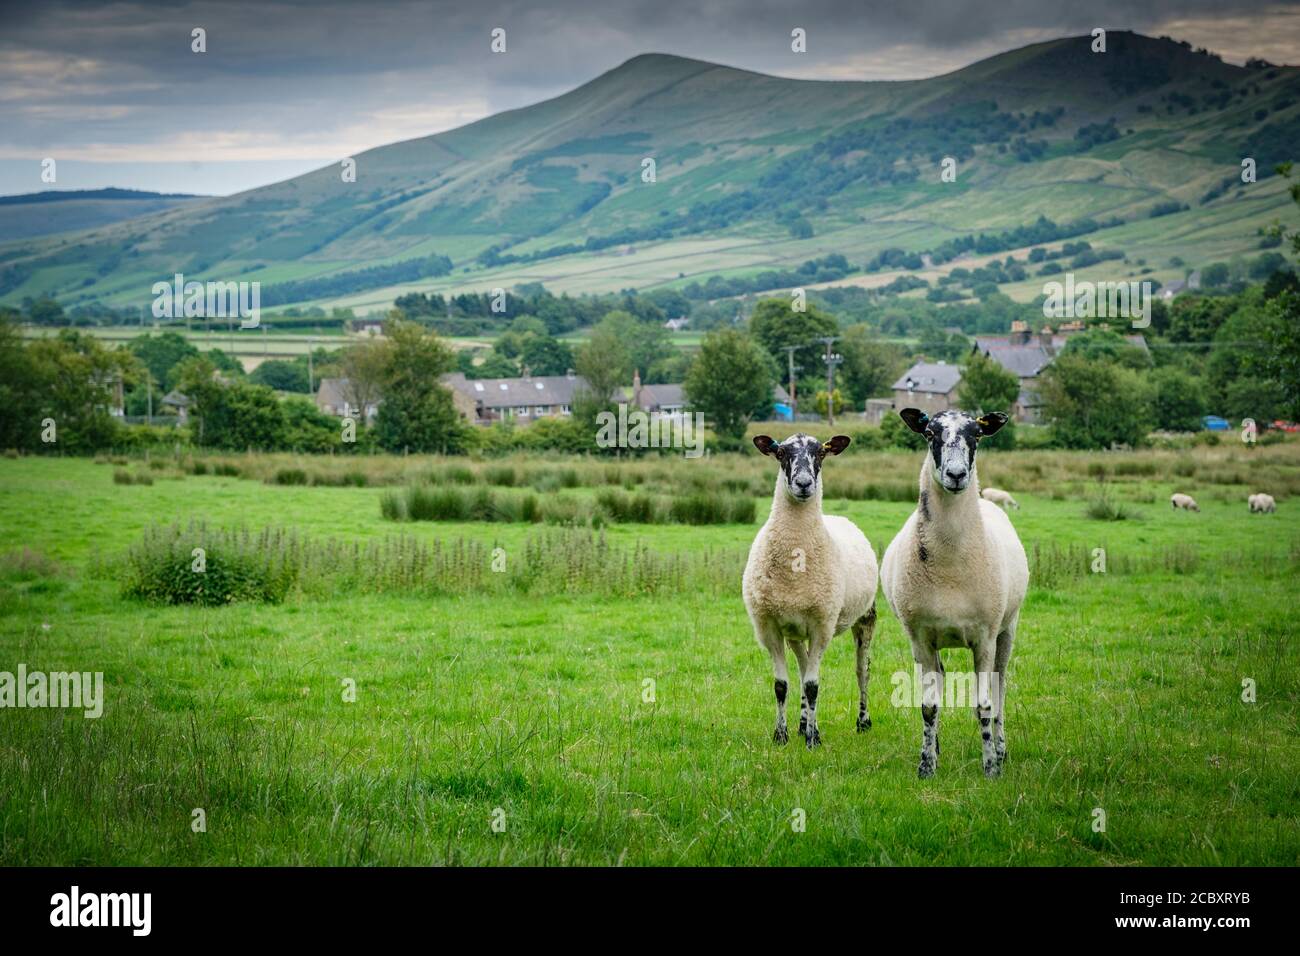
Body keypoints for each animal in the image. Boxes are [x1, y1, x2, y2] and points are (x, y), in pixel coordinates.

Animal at [743, 433, 879, 750]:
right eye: (781, 453)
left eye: (821, 453)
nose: (804, 483)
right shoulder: (769, 627)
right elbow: (782, 685)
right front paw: (781, 735)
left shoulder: (822, 626)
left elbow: (814, 685)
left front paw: (813, 740)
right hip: (794, 629)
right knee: (804, 666)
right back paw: (804, 722)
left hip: (866, 615)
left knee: (862, 669)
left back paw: (862, 721)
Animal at [880, 409, 1028, 778]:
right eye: (930, 433)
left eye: (976, 434)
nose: (957, 475)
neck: (949, 564)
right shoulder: (921, 637)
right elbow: (928, 706)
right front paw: (926, 766)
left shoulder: (985, 636)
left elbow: (984, 704)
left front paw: (991, 768)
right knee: (941, 680)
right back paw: (937, 747)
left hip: (1008, 627)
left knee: (1000, 685)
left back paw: (1001, 748)